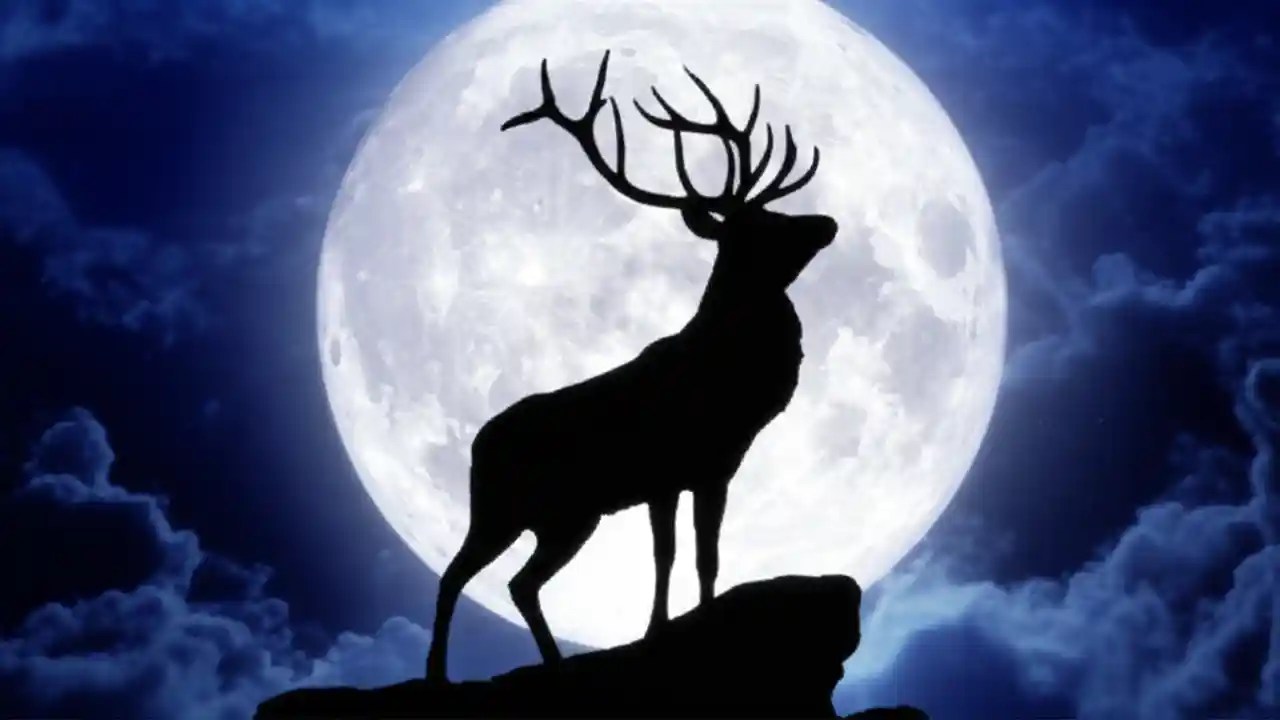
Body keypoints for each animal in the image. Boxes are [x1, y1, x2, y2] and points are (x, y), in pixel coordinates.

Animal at [425, 49, 838, 684]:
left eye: (778, 211)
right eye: (764, 225)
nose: (827, 223)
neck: (730, 384)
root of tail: (477, 444)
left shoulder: (706, 470)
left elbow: (699, 556)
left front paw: (685, 624)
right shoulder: (673, 470)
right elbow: (675, 554)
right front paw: (665, 629)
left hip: (566, 517)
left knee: (518, 583)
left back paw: (554, 663)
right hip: (502, 508)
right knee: (457, 575)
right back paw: (438, 674)